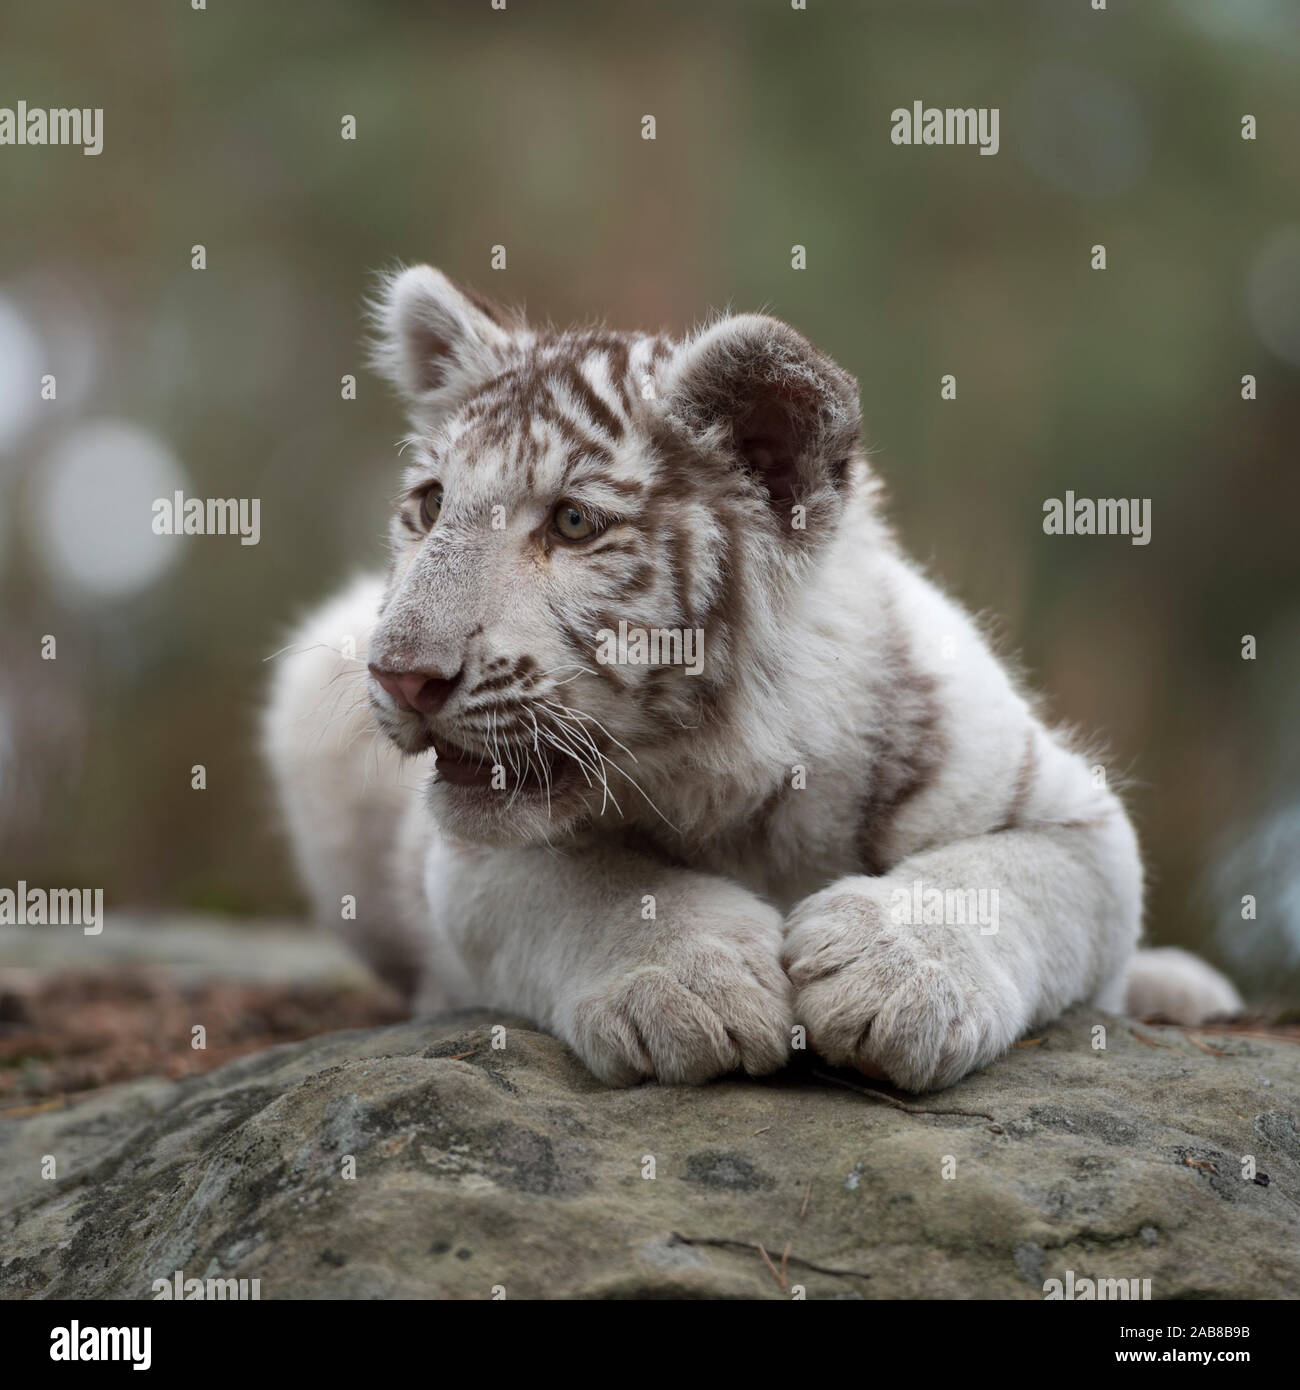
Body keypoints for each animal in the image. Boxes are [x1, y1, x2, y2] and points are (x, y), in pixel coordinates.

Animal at [263, 264, 1241, 1092]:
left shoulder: (1078, 818)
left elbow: (1002, 880)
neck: (744, 784)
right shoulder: (469, 857)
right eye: (430, 507)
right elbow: (585, 884)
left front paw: (894, 976)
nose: (400, 675)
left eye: (574, 524)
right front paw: (691, 984)